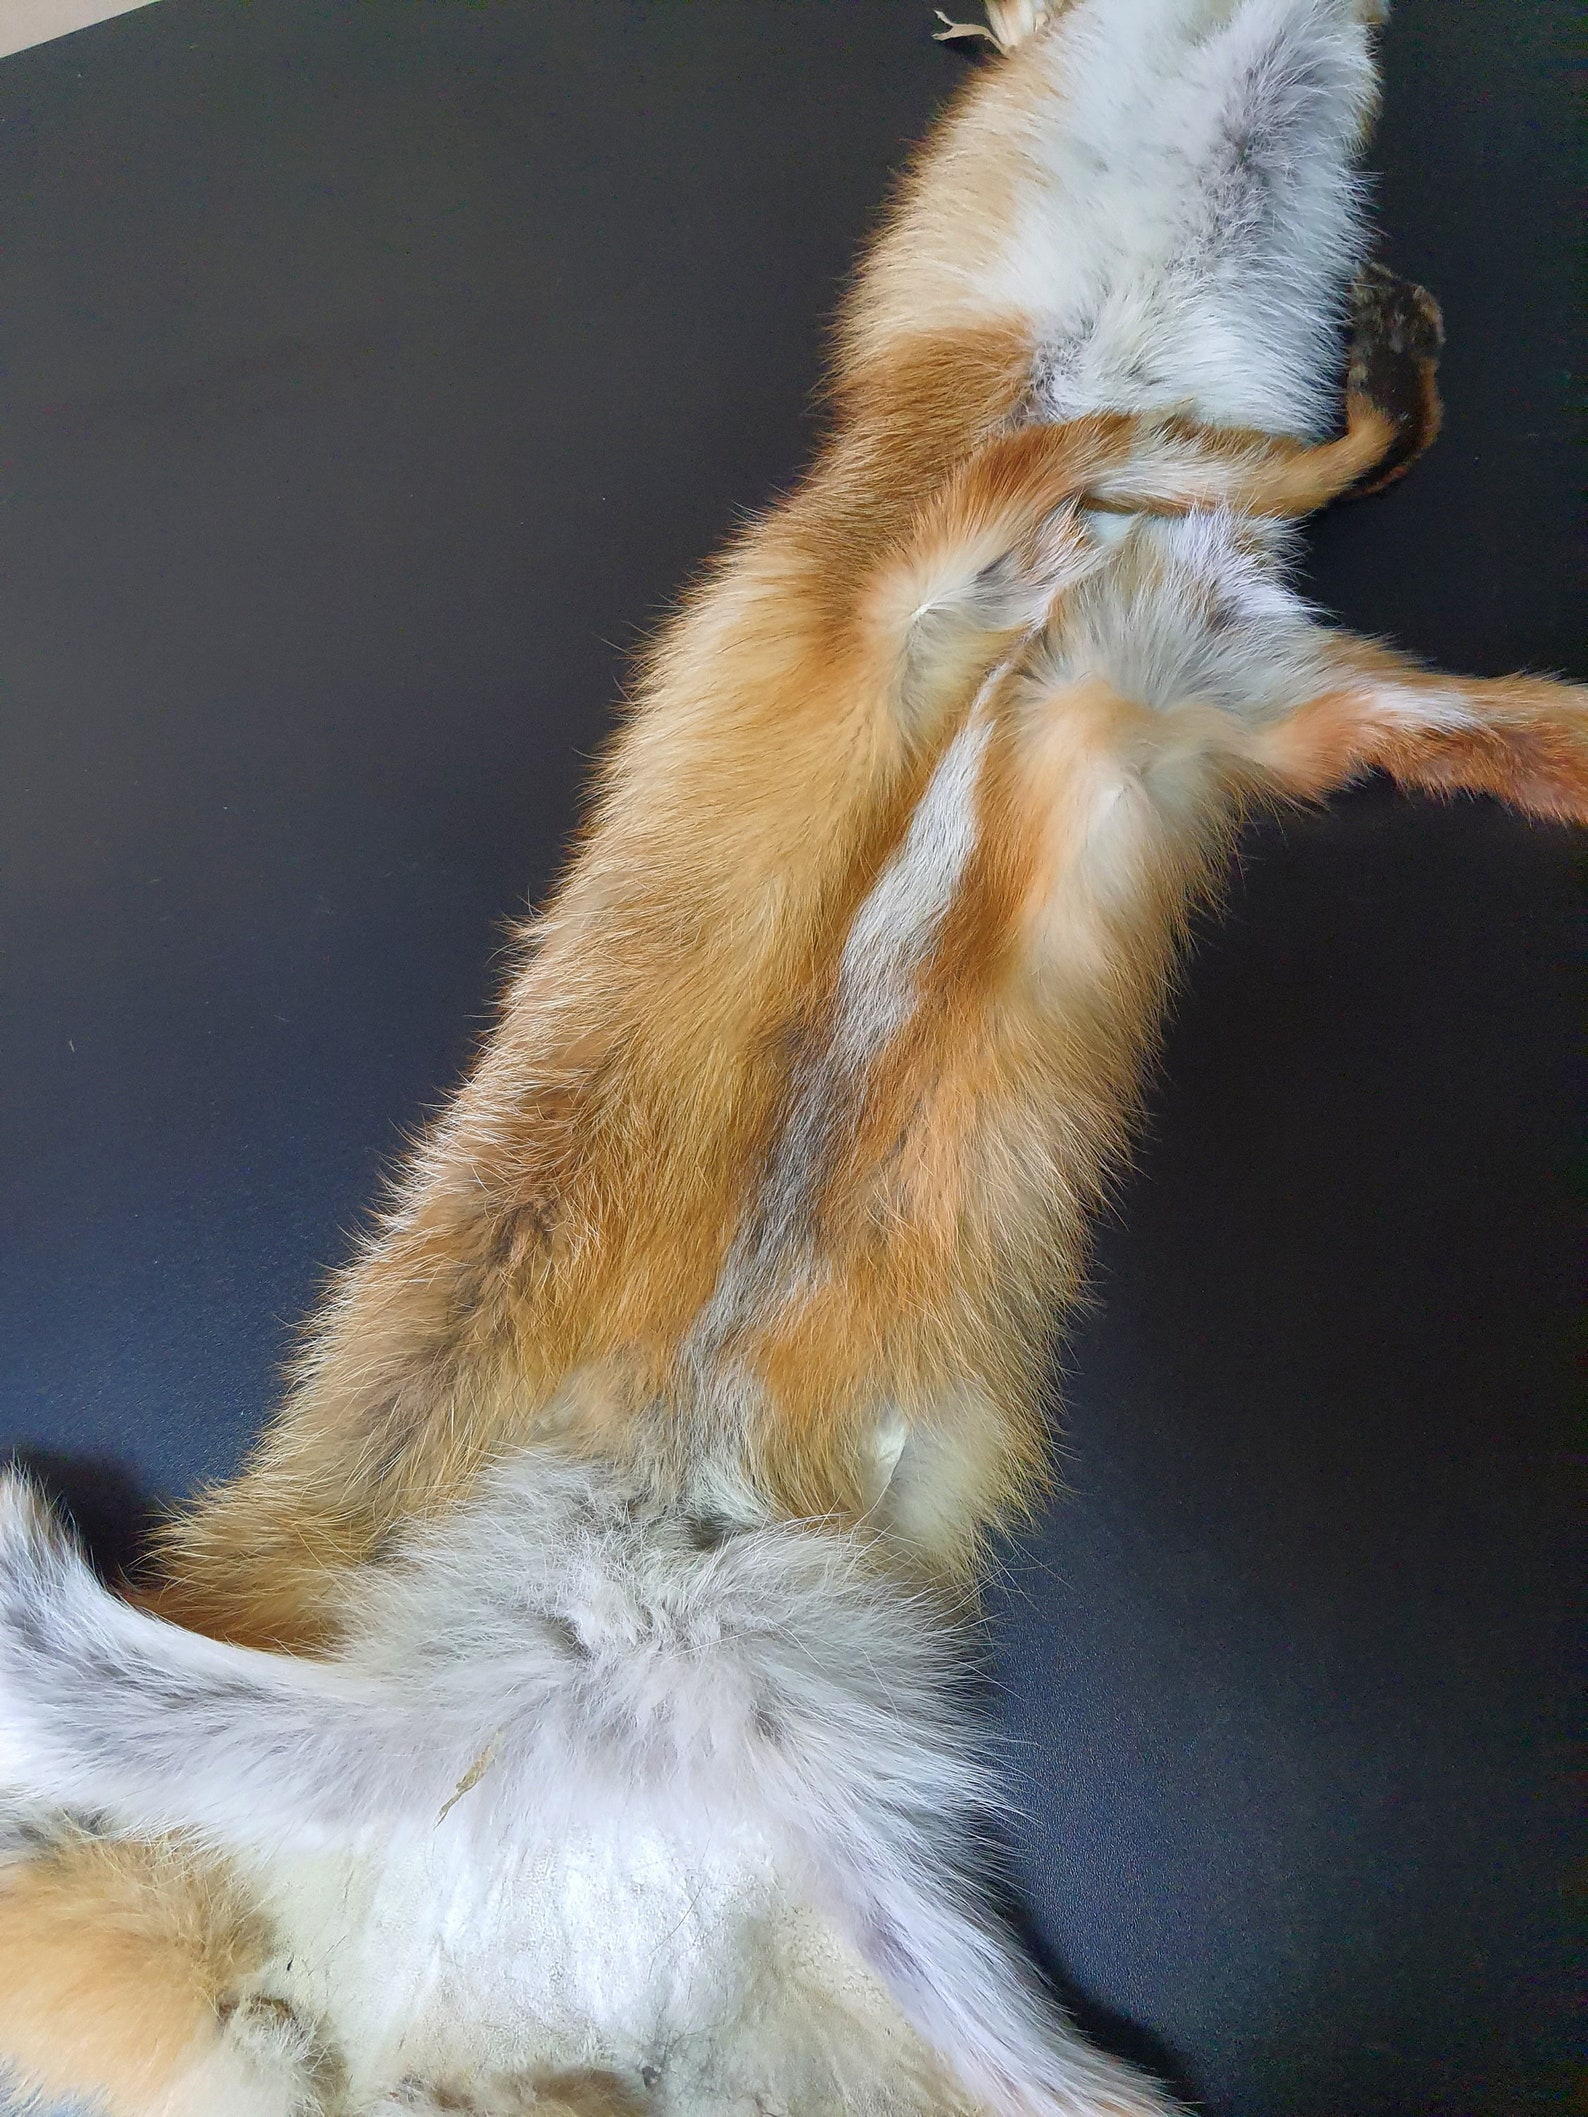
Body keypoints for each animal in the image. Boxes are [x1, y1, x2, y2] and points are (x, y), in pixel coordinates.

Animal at [1, 3, 1582, 2114]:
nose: (1343, 21)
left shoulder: (1231, 686)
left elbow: (1504, 717)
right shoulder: (942, 547)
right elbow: (1151, 452)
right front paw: (1343, 402)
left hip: (931, 1953)